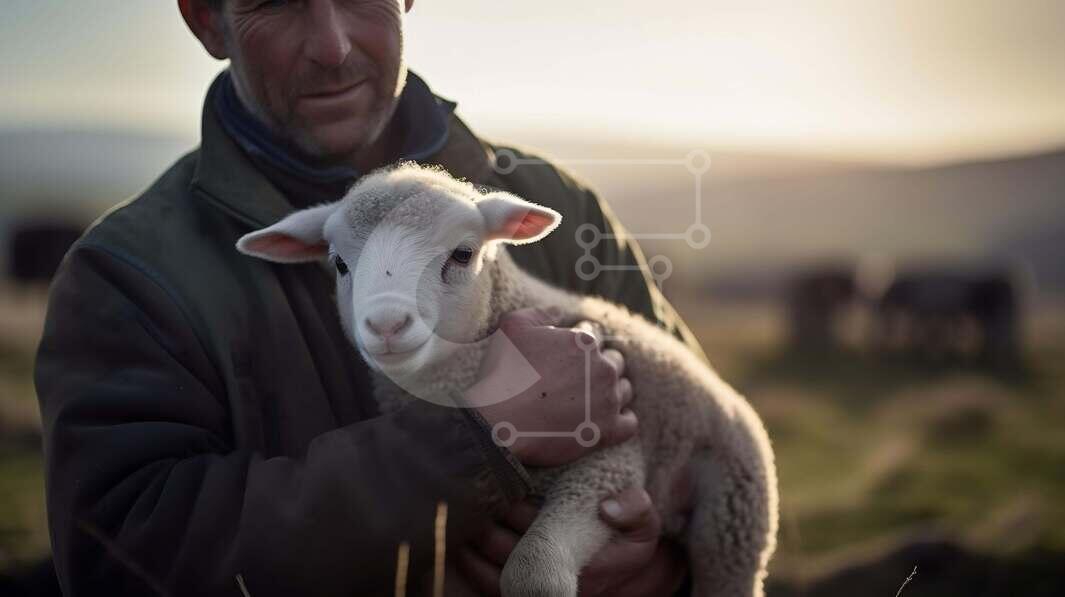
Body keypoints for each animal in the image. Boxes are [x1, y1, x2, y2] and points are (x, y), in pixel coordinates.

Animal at [236, 163, 778, 597]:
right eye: (341, 264)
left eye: (462, 254)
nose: (386, 325)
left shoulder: (609, 463)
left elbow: (533, 571)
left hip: (731, 522)